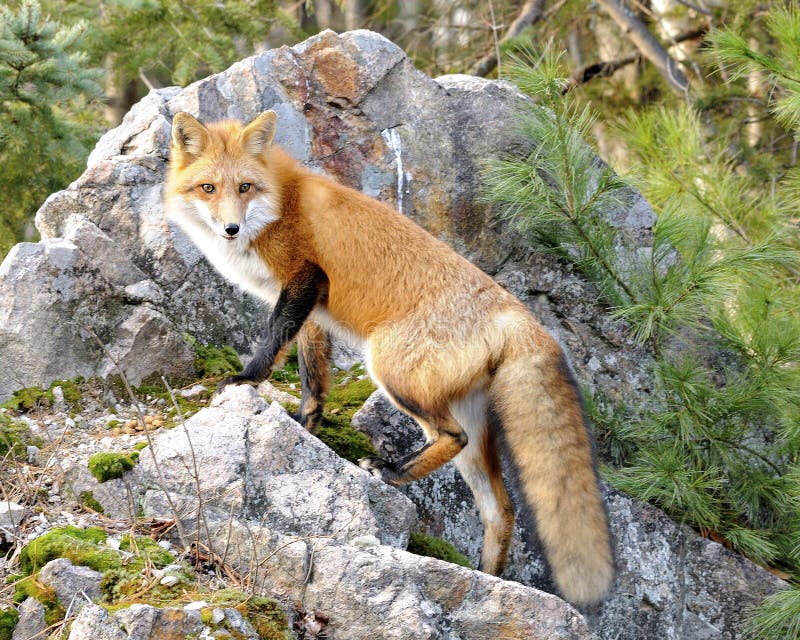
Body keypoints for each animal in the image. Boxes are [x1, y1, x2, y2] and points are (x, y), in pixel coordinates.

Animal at [164, 109, 615, 607]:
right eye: (209, 188)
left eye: (244, 187)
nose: (231, 229)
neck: (280, 204)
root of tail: (521, 318)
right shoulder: (313, 313)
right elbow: (313, 384)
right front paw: (304, 432)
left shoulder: (303, 280)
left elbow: (272, 342)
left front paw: (245, 379)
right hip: (472, 426)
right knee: (502, 508)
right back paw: (490, 582)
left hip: (391, 371)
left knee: (451, 438)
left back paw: (390, 472)